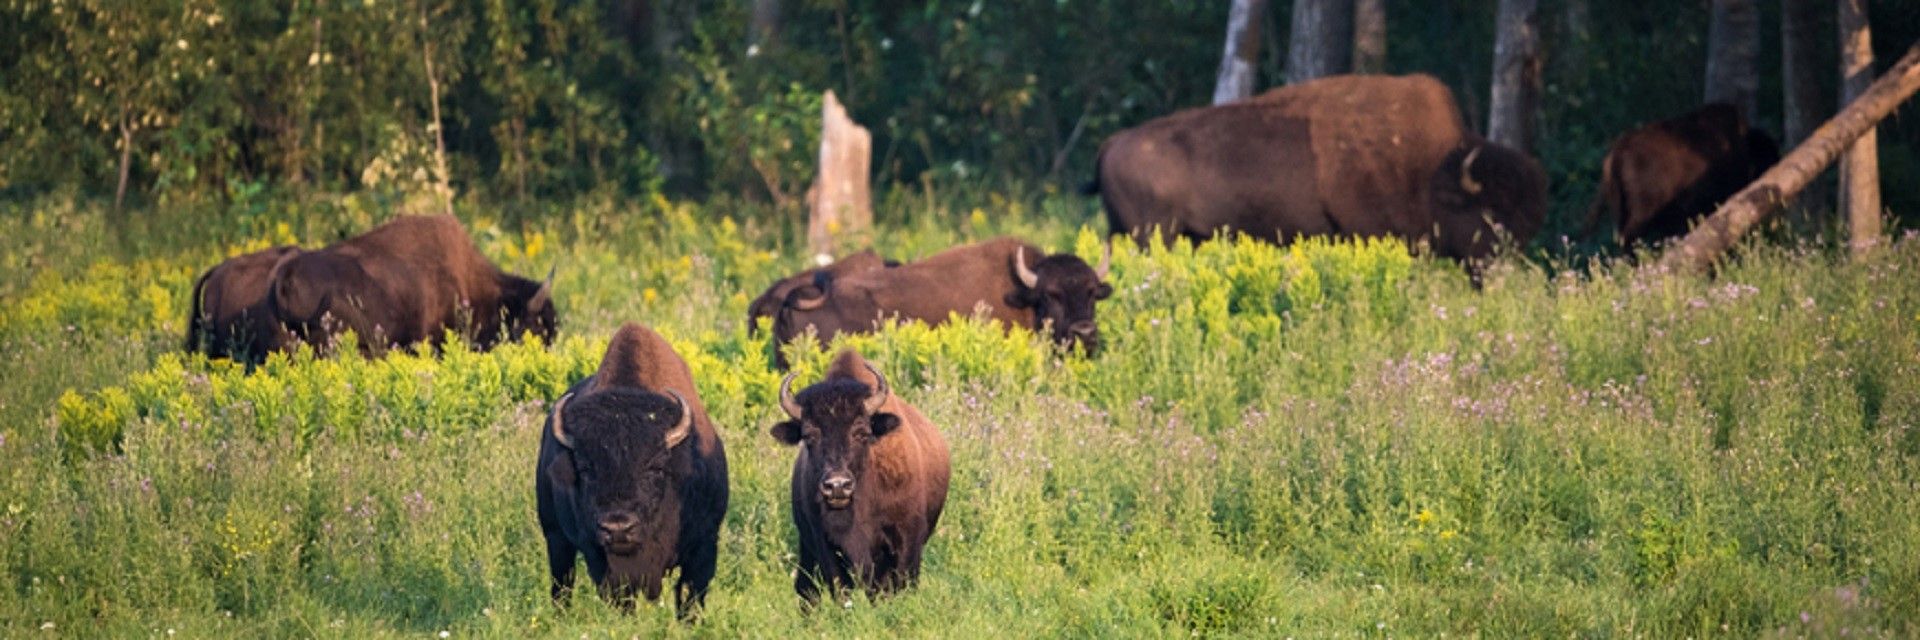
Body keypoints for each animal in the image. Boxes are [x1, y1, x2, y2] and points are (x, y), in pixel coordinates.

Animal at [536, 322, 729, 615]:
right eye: (585, 468)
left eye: (655, 467)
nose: (618, 527)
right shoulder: (598, 555)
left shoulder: (704, 545)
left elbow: (689, 598)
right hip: (555, 536)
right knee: (562, 584)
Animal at [1090, 73, 1547, 268]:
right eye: (1490, 214)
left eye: (1529, 224)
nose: (1504, 271)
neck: (1432, 169)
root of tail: (1113, 142)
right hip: (1153, 235)